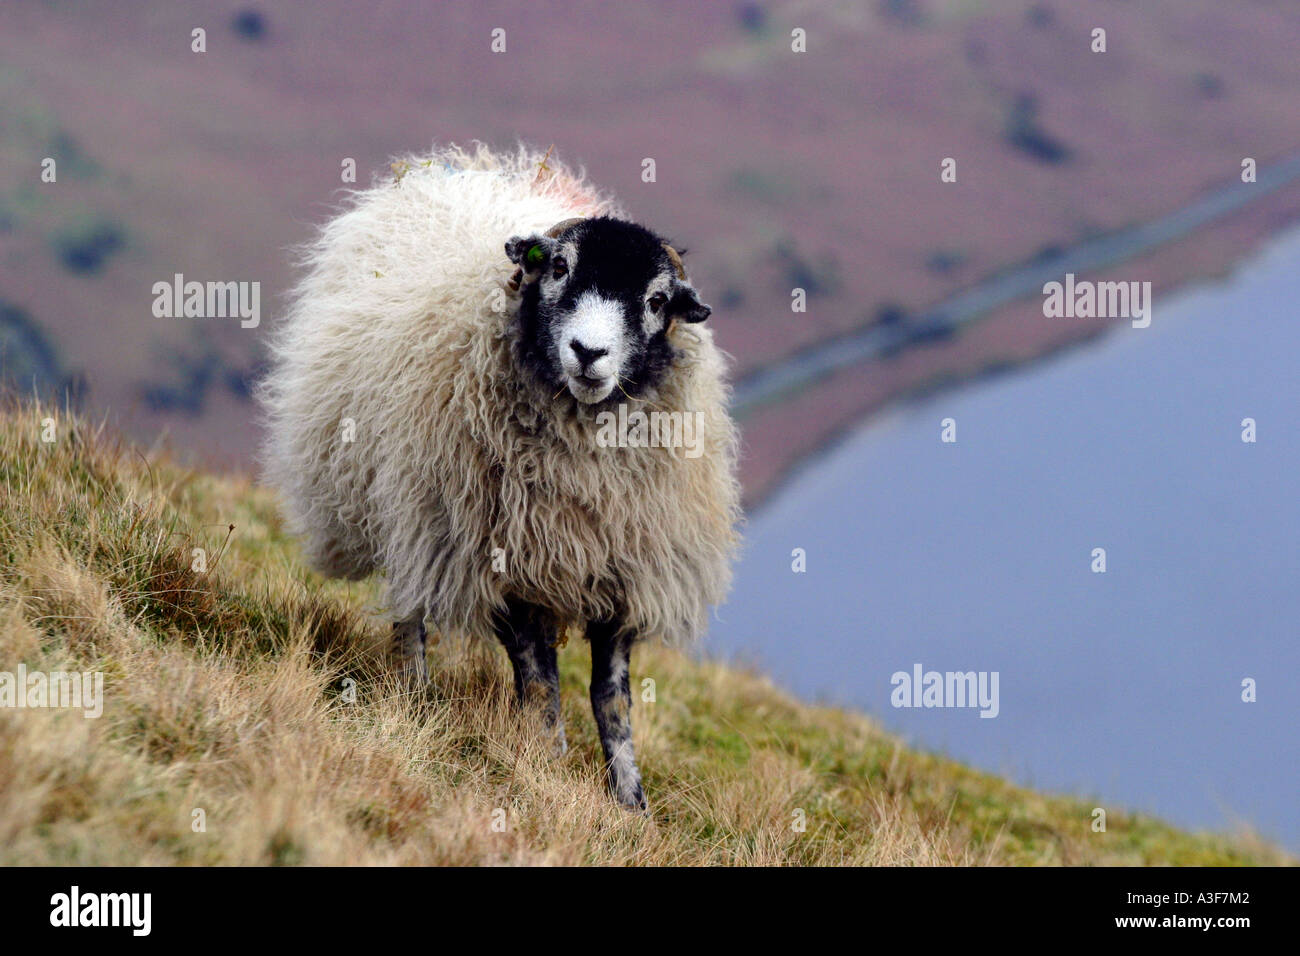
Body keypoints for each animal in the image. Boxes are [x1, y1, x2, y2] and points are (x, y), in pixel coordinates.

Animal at [258, 143, 742, 810]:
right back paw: (414, 695)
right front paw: (549, 770)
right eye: (559, 267)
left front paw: (630, 801)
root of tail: (466, 170)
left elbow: (611, 698)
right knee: (410, 605)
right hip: (410, 500)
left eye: (656, 301)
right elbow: (539, 684)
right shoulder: (508, 560)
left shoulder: (623, 569)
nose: (589, 353)